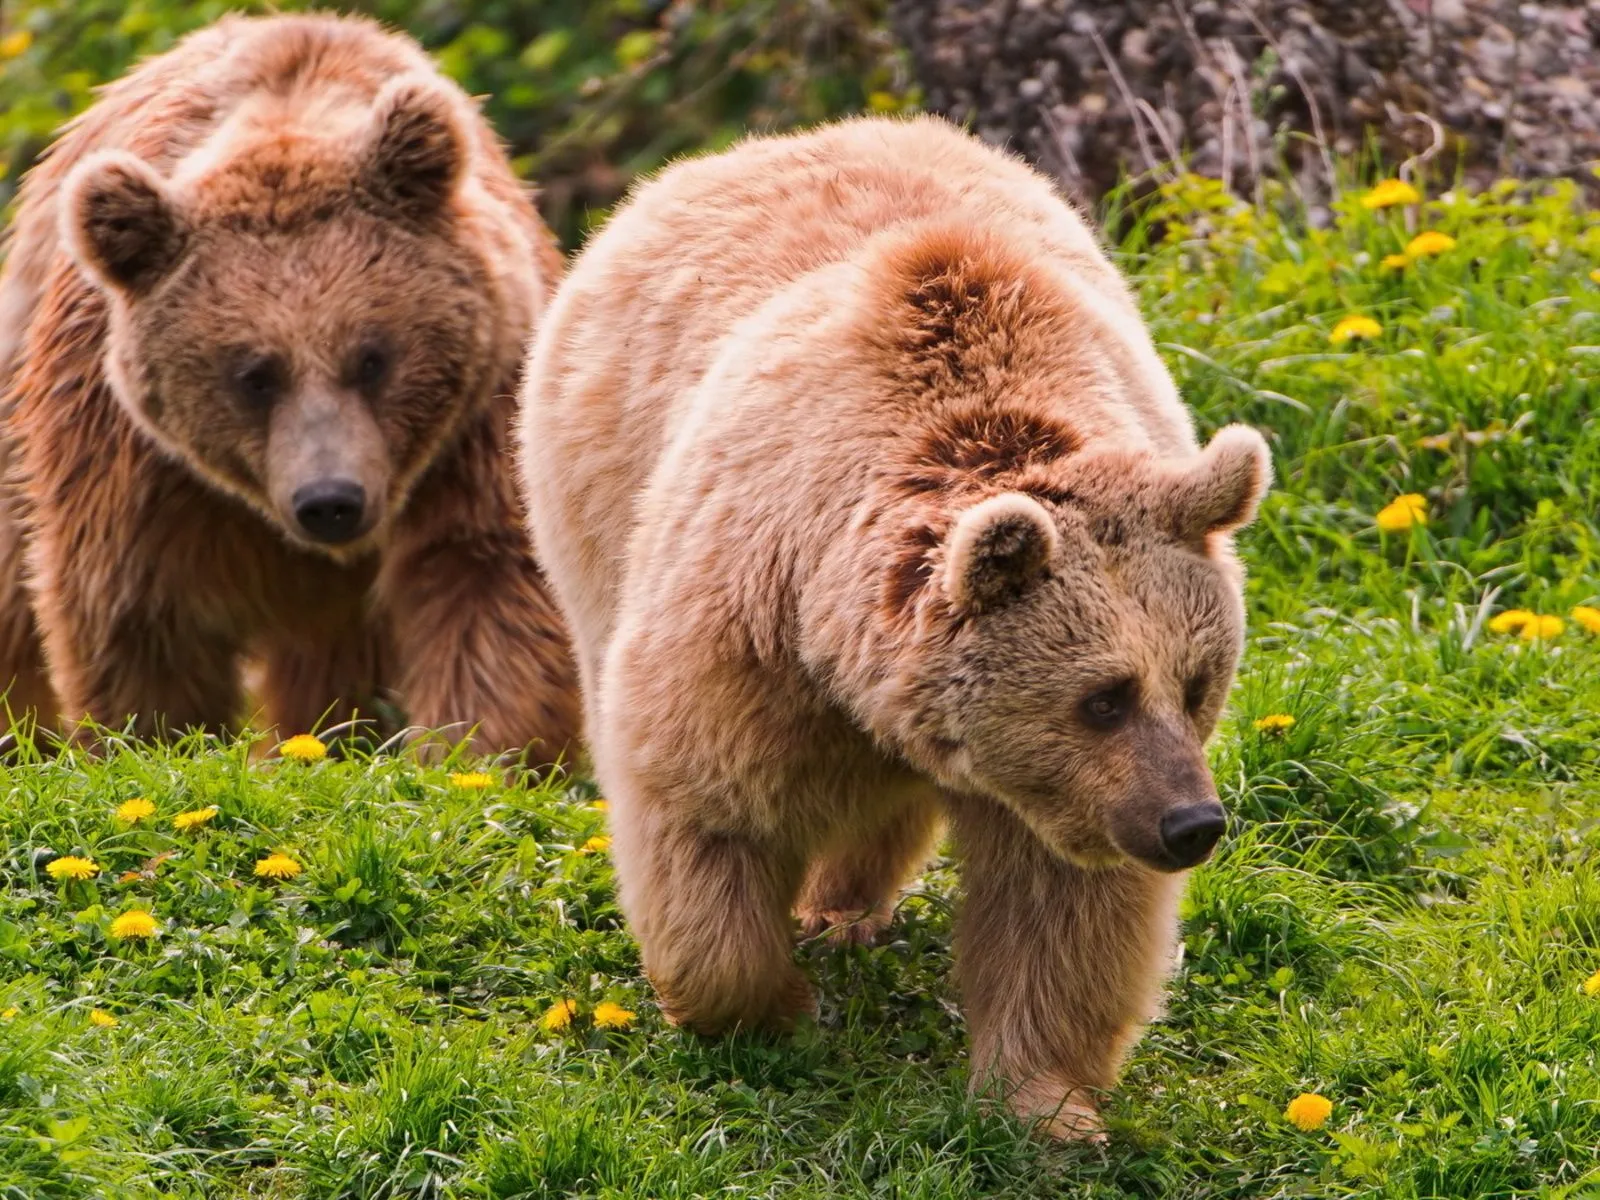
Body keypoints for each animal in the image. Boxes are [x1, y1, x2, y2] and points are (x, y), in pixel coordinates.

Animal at [0, 12, 578, 761]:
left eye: (373, 357)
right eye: (254, 374)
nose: (330, 500)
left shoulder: (480, 419)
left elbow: (487, 580)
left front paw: (471, 753)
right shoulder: (133, 459)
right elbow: (138, 613)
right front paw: (157, 737)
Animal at [516, 115, 1271, 1138]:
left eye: (1197, 684)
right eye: (1104, 697)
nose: (1191, 823)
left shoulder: (1061, 793)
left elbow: (1063, 912)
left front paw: (1046, 1103)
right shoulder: (749, 627)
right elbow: (706, 807)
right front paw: (767, 1007)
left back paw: (850, 904)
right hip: (592, 501)